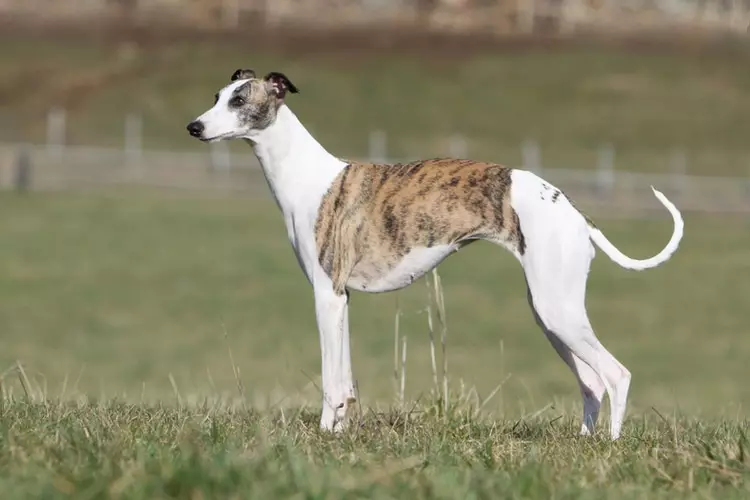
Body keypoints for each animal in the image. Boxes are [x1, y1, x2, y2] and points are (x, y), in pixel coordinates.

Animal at [185, 69, 684, 438]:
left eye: (239, 100)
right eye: (216, 95)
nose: (194, 127)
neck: (307, 175)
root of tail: (576, 213)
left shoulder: (326, 294)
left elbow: (330, 379)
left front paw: (325, 435)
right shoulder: (341, 299)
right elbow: (344, 379)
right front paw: (340, 434)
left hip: (557, 309)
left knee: (616, 374)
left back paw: (611, 446)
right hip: (551, 312)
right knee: (592, 381)